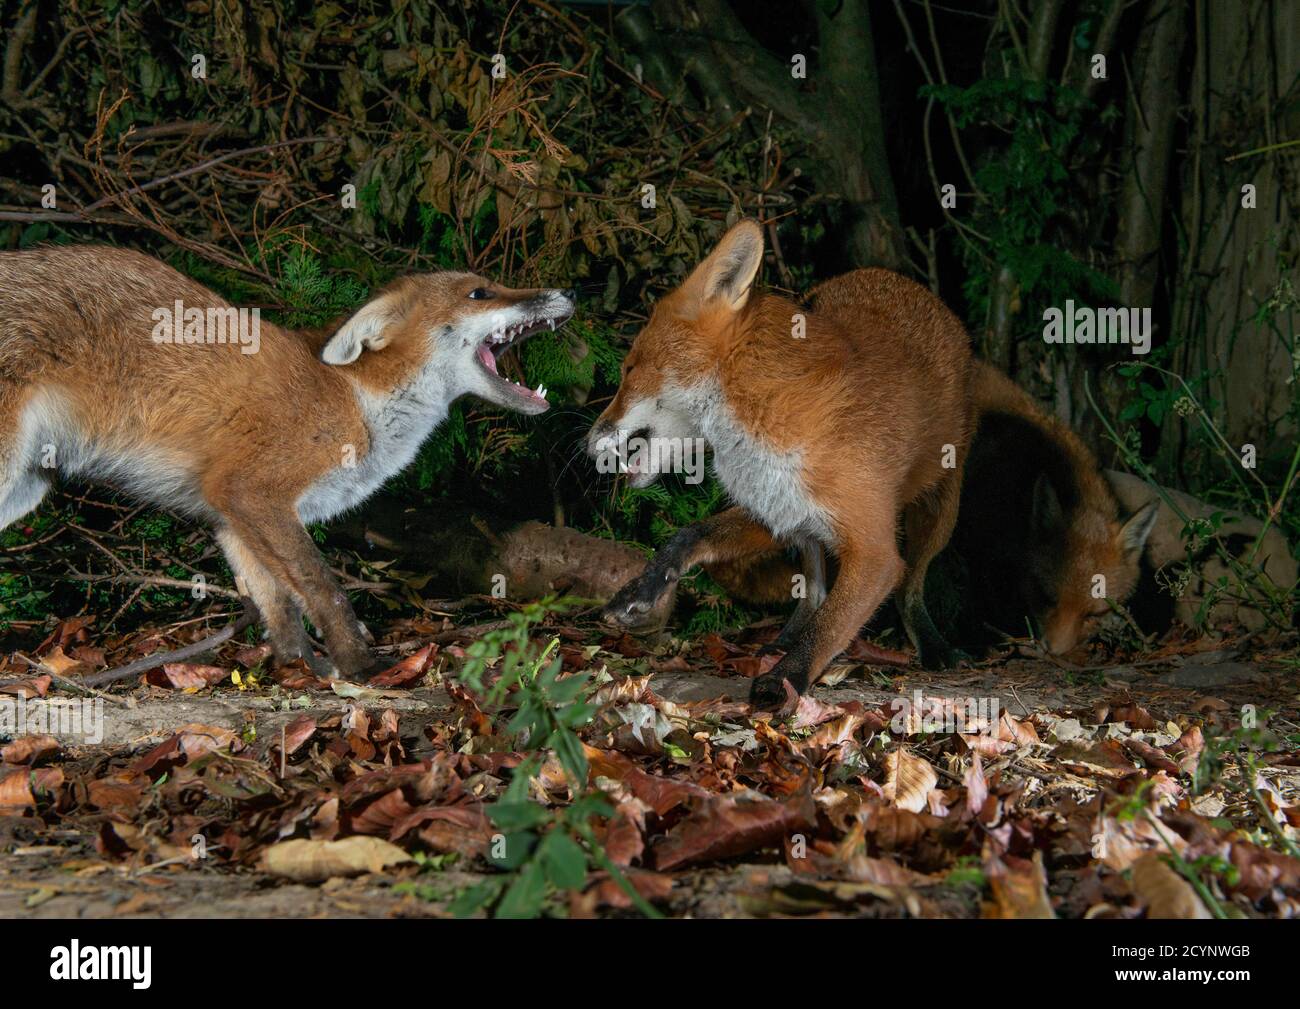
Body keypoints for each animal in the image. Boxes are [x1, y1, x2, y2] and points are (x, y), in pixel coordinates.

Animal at [0, 244, 574, 679]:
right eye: (480, 293)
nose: (571, 292)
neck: (357, 400)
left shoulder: (230, 518)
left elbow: (280, 608)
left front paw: (299, 671)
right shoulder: (254, 492)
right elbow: (323, 588)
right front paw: (360, 666)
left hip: (26, 488)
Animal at [587, 219, 974, 706]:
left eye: (630, 369)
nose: (588, 440)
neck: (762, 412)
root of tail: (907, 285)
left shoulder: (875, 550)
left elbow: (830, 626)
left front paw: (784, 680)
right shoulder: (772, 507)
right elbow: (689, 535)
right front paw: (642, 589)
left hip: (941, 508)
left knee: (910, 584)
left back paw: (933, 645)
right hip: (802, 519)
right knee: (814, 588)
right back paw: (784, 637)